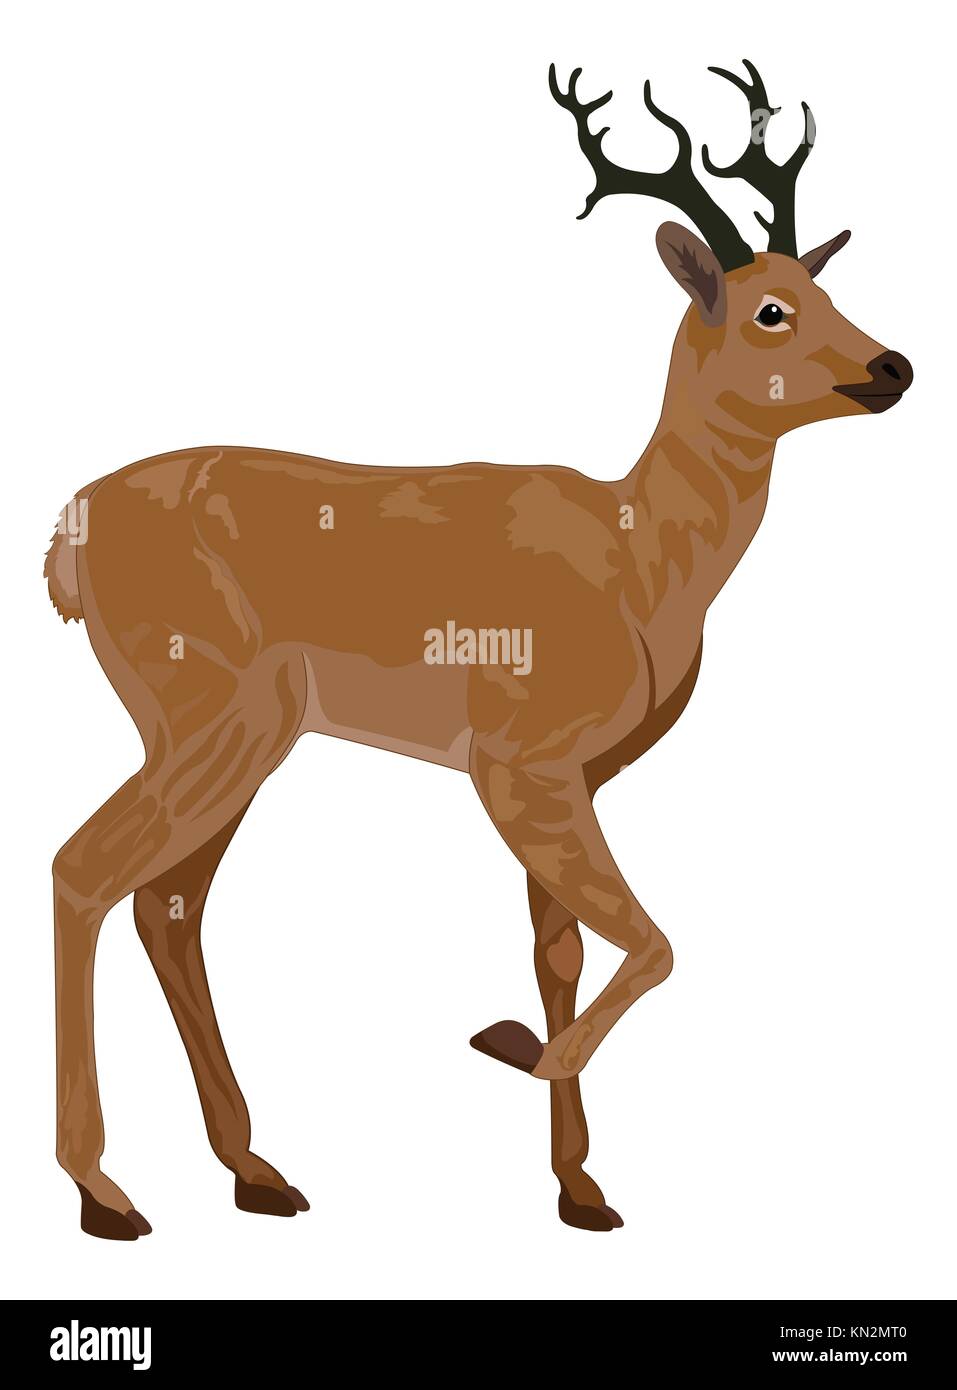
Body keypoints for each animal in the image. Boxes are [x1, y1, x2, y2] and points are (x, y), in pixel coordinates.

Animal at [45, 58, 912, 1240]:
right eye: (771, 309)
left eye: (824, 289)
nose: (894, 365)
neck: (641, 562)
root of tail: (64, 538)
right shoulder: (519, 757)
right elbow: (655, 942)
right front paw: (517, 1052)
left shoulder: (579, 773)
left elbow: (565, 950)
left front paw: (581, 1188)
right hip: (212, 706)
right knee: (84, 869)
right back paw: (105, 1192)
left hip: (220, 730)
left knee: (168, 905)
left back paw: (256, 1171)